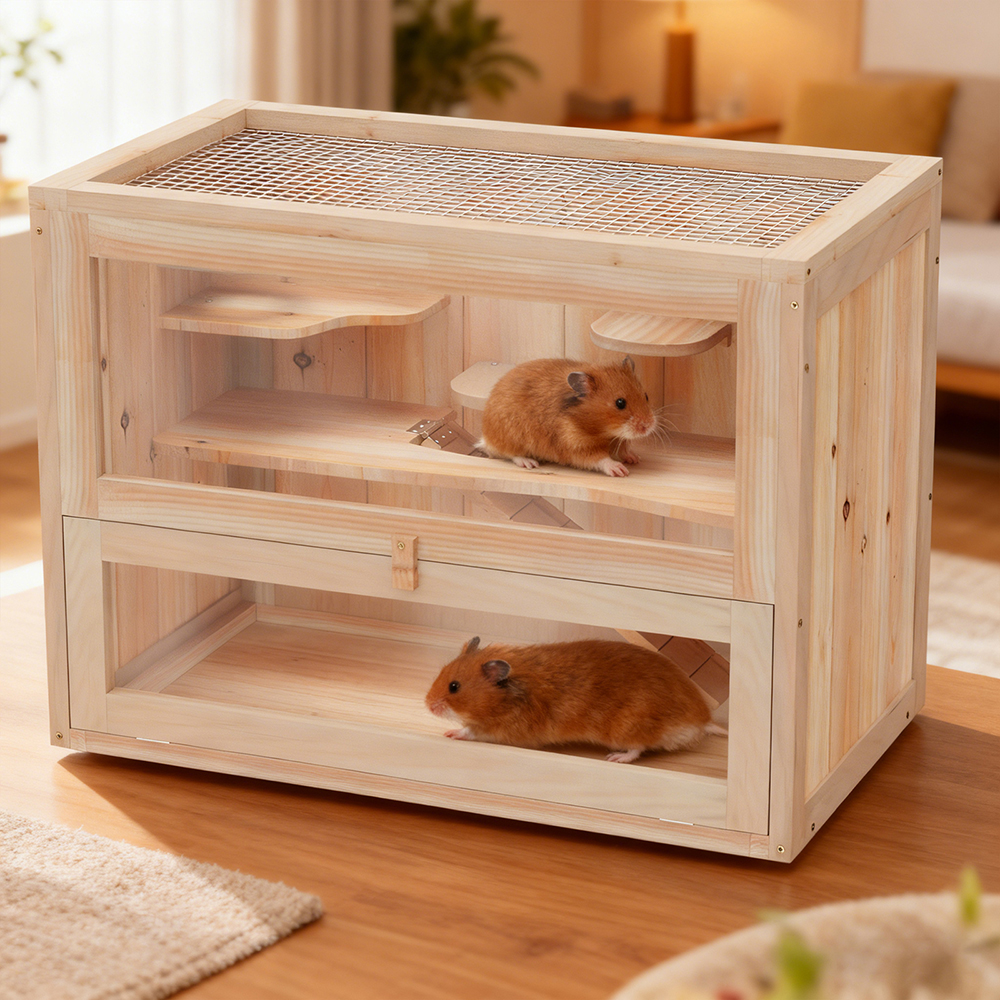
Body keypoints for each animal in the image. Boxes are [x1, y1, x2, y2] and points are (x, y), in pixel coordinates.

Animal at [425, 637, 726, 763]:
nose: (426, 703)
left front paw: (450, 733)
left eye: (454, 687)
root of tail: (701, 720)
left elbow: (471, 731)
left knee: (637, 749)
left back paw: (615, 758)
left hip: (629, 727)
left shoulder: (503, 730)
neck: (512, 695)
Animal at [479, 357, 657, 477]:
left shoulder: (618, 440)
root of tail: (486, 437)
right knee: (508, 454)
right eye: (620, 403)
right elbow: (600, 459)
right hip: (510, 438)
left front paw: (634, 459)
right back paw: (529, 463)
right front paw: (620, 470)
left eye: (646, 396)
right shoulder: (575, 446)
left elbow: (623, 450)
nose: (647, 426)